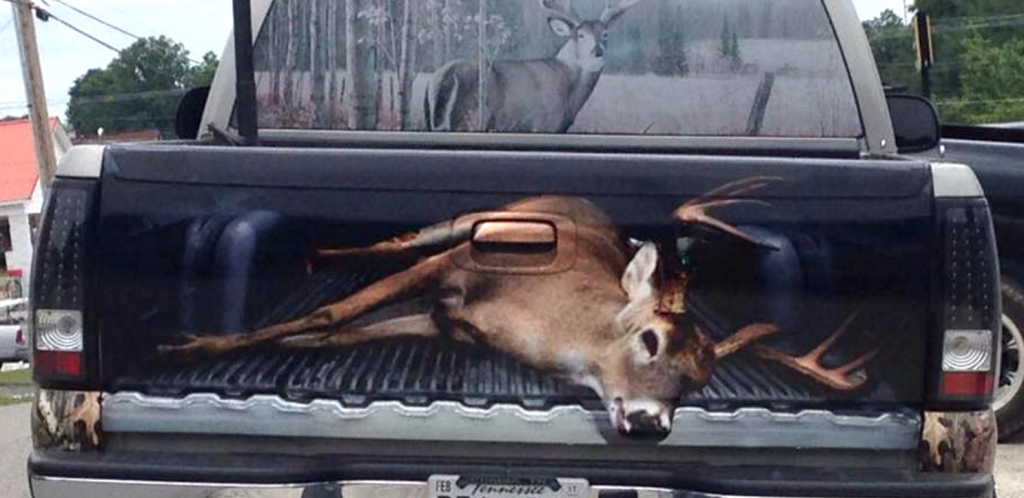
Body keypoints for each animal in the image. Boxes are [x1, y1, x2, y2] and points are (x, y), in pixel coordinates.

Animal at [162, 178, 880, 436]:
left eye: (700, 381)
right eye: (649, 338)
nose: (649, 422)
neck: (534, 316)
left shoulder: (443, 325)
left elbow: (334, 336)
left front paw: (270, 347)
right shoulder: (451, 267)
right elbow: (331, 315)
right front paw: (192, 345)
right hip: (464, 223)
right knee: (396, 238)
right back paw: (319, 254)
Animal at [424, 0, 641, 133]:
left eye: (605, 34)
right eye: (581, 35)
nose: (597, 52)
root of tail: (445, 76)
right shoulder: (545, 123)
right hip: (468, 117)